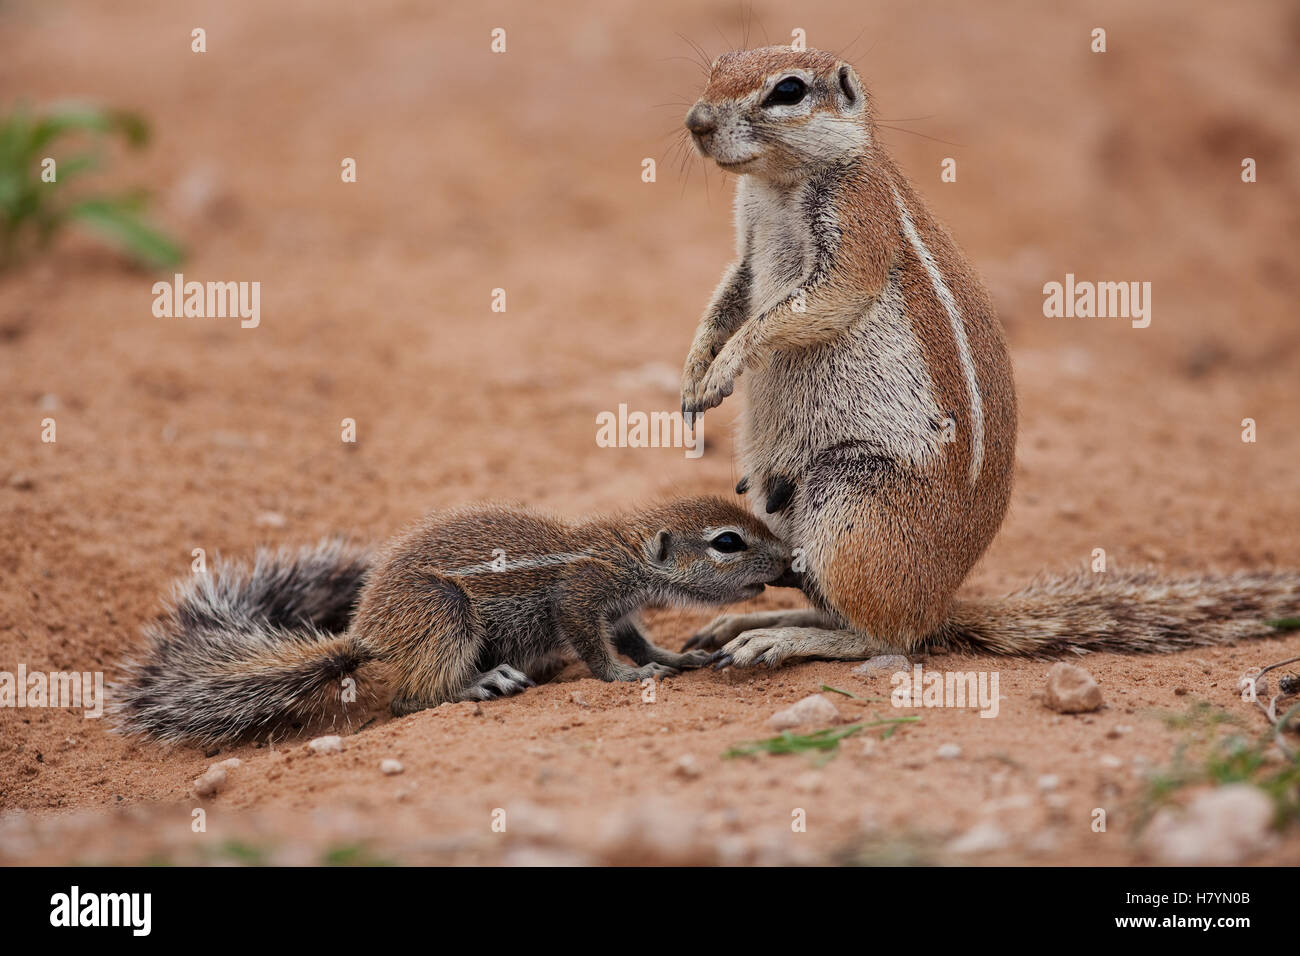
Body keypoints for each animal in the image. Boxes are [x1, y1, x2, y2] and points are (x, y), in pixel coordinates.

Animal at [114, 496, 793, 745]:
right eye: (728, 542)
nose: (789, 559)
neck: (624, 551)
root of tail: (366, 633)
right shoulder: (581, 596)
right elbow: (594, 645)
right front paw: (625, 678)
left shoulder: (619, 611)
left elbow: (641, 641)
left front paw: (678, 658)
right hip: (444, 615)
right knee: (410, 700)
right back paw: (481, 682)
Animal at [676, 46, 1297, 666]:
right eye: (720, 64)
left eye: (788, 90)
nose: (696, 121)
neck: (778, 186)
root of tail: (938, 608)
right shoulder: (747, 248)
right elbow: (729, 297)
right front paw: (693, 375)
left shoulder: (858, 225)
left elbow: (805, 308)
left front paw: (724, 368)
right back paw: (746, 622)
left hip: (852, 506)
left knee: (885, 637)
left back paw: (781, 637)